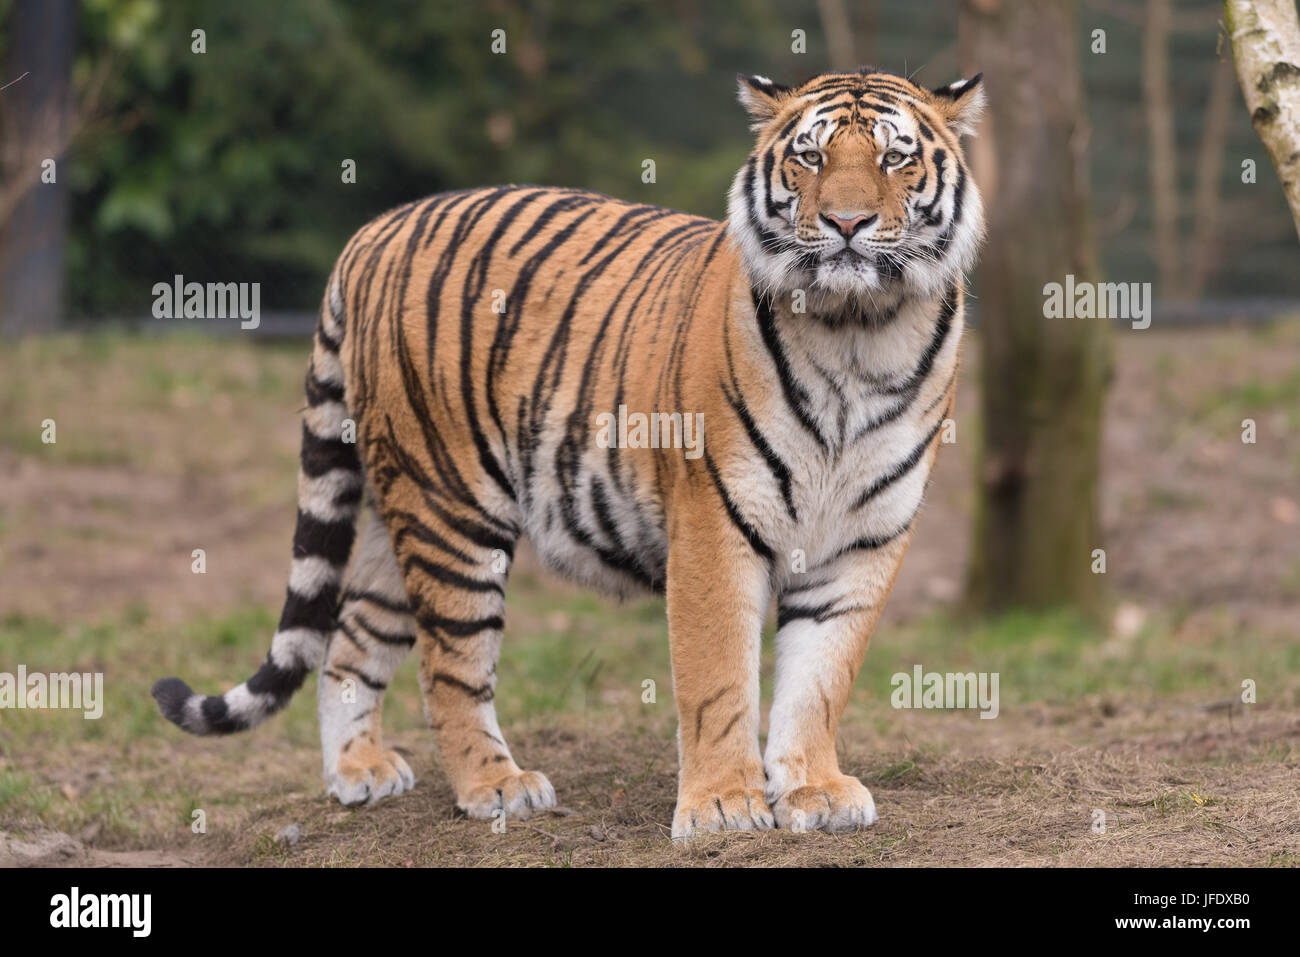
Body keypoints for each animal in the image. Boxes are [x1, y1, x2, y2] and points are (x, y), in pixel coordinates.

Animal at [152, 67, 985, 840]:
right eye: (810, 157)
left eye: (896, 158)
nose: (846, 220)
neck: (857, 332)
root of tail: (374, 230)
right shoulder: (715, 522)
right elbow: (717, 675)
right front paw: (722, 805)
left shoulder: (865, 537)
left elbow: (821, 676)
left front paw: (813, 789)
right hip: (451, 508)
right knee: (449, 664)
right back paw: (496, 785)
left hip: (403, 510)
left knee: (354, 635)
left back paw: (359, 773)